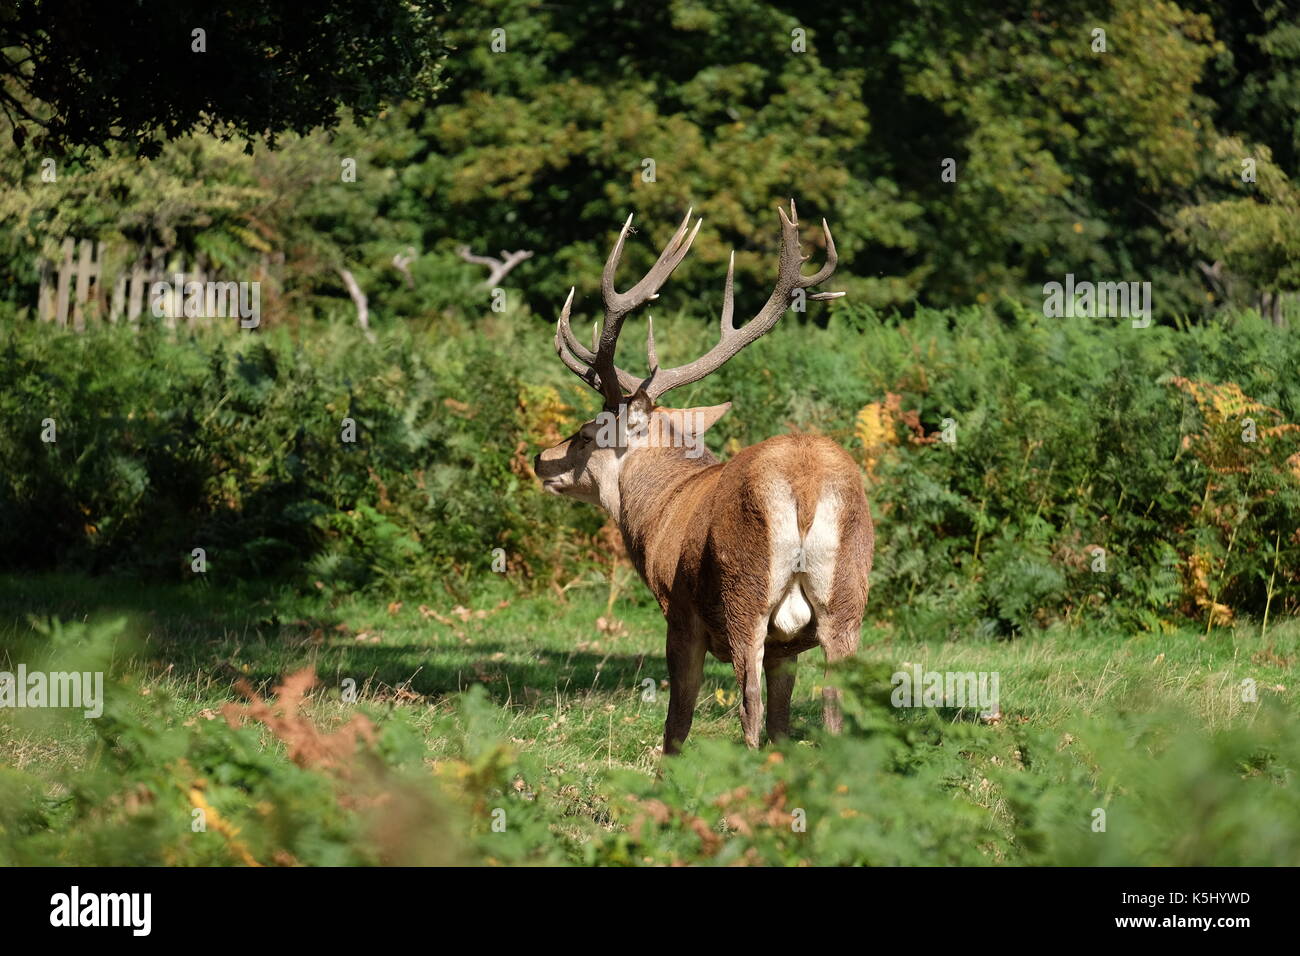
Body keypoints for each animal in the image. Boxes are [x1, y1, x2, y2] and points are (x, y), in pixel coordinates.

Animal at [533, 200, 874, 755]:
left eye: (586, 434)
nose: (541, 458)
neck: (660, 513)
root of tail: (804, 486)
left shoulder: (679, 611)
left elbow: (679, 719)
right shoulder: (787, 647)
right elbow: (783, 723)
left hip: (744, 592)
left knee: (748, 707)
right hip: (847, 597)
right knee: (834, 709)